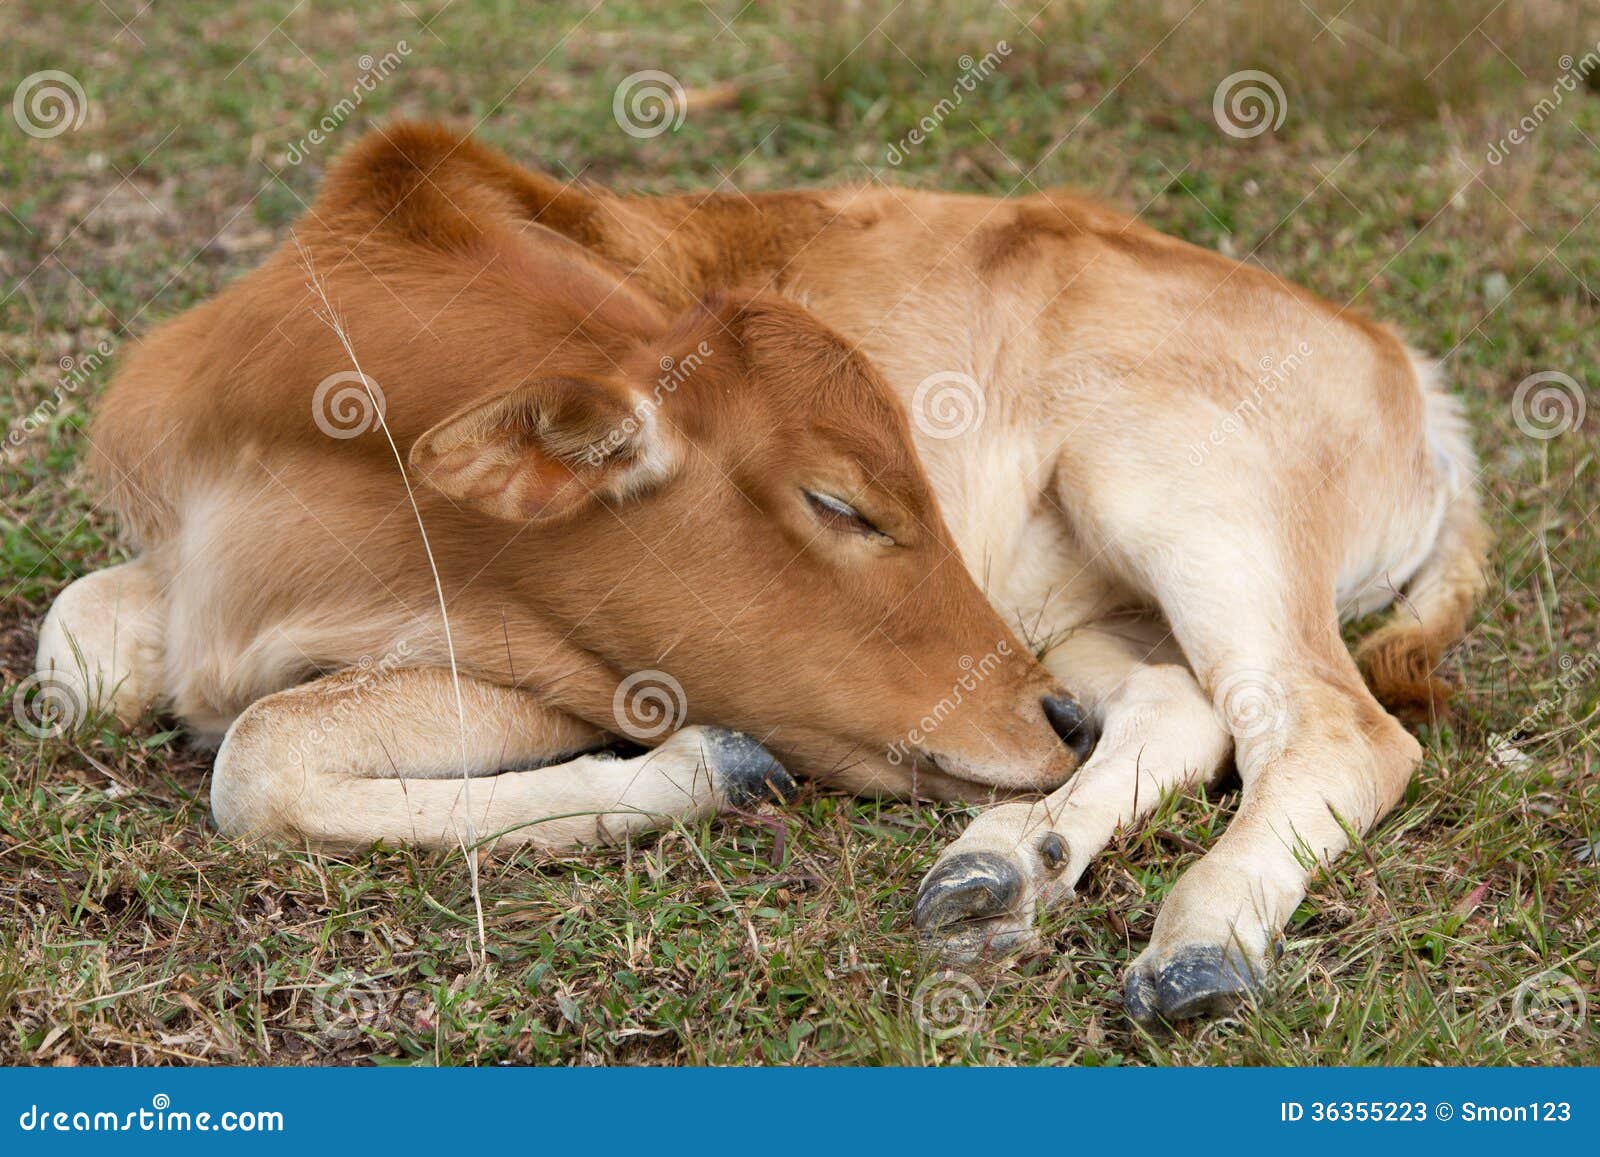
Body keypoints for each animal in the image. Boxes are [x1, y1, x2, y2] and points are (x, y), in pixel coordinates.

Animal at [36, 124, 1488, 1023]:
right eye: (840, 501)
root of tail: (1400, 360)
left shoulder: (567, 664)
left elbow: (258, 753)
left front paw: (710, 768)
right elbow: (72, 646)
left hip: (1184, 496)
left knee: (1338, 726)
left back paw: (1198, 943)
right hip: (1064, 612)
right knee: (1170, 708)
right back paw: (1004, 865)